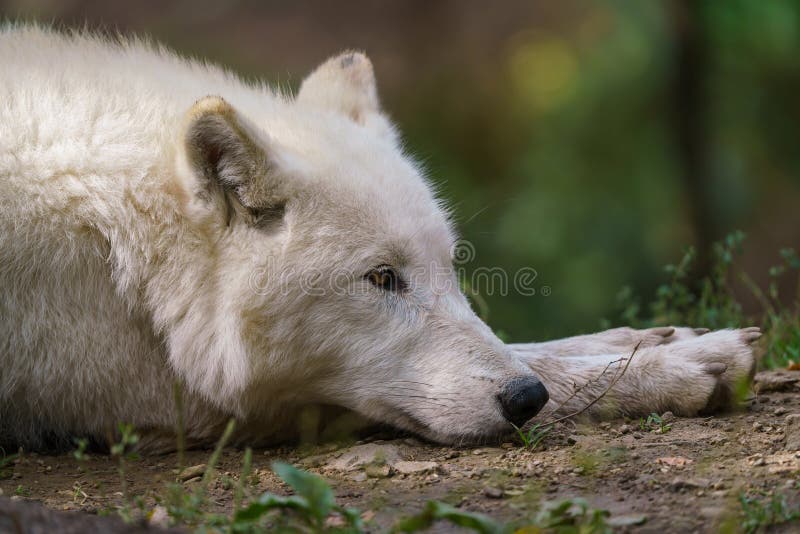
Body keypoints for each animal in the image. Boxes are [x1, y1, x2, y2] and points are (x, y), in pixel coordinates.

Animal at [0, 26, 759, 452]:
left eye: (451, 270)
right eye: (382, 279)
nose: (524, 400)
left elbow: (525, 346)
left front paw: (649, 340)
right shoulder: (177, 404)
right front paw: (675, 365)